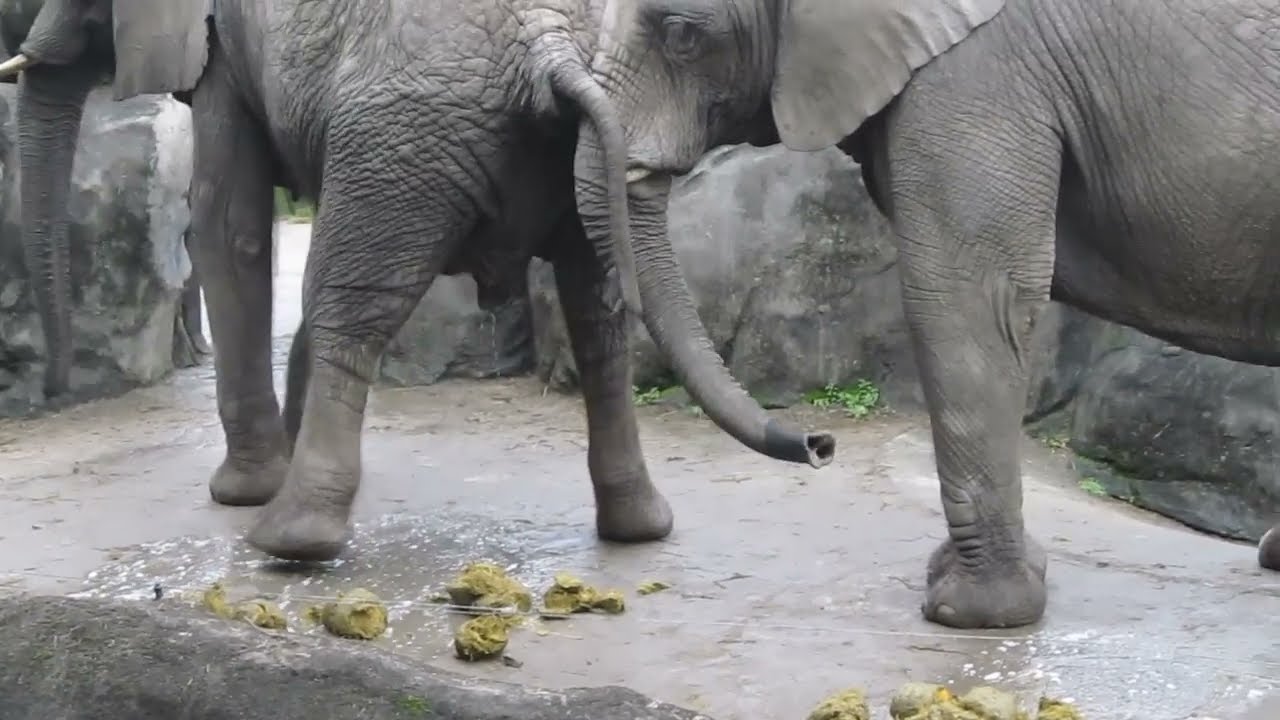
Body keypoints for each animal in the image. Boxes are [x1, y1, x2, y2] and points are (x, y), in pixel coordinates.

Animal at [0, 0, 835, 561]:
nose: (60, 383)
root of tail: (550, 41)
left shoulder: (222, 51)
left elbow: (227, 230)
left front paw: (242, 490)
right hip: (565, 140)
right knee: (596, 307)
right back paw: (639, 528)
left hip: (403, 134)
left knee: (354, 294)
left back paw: (289, 539)